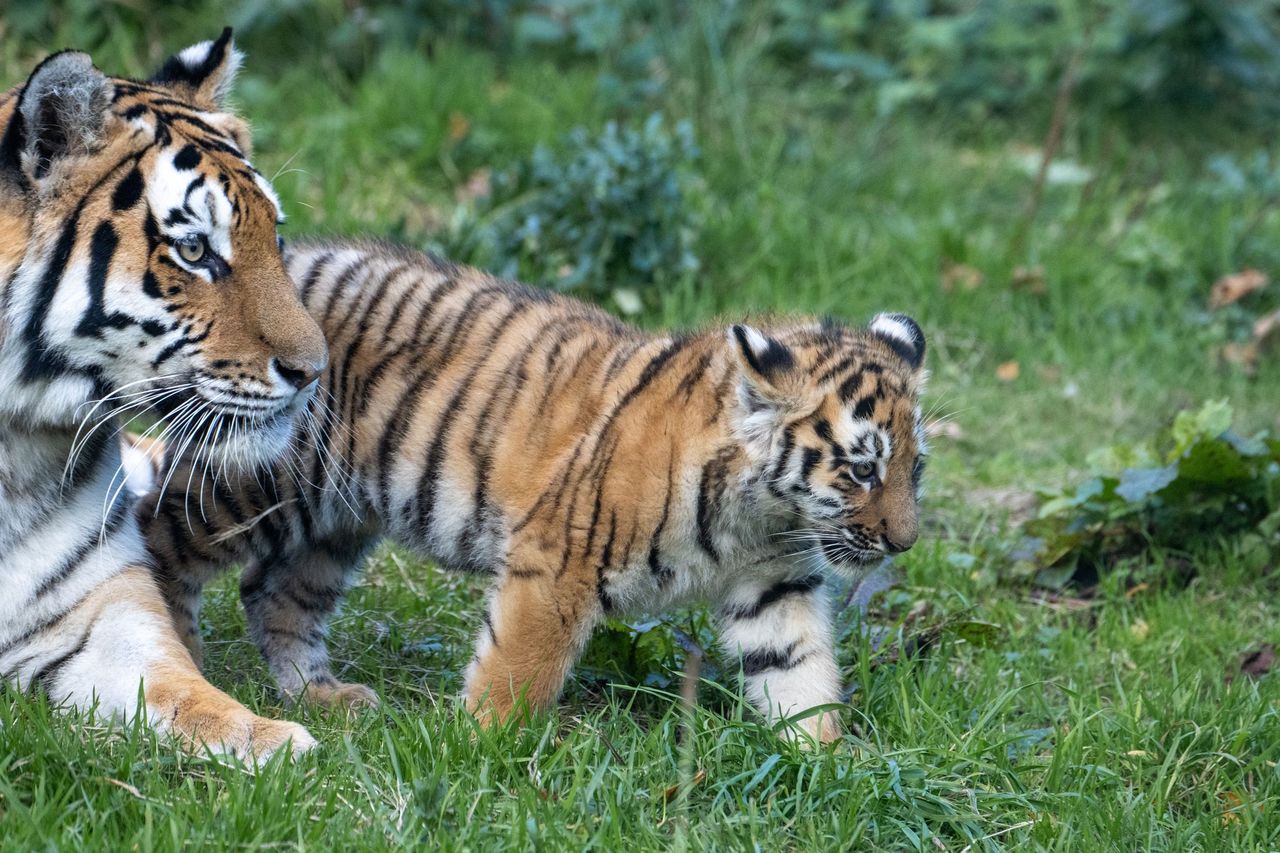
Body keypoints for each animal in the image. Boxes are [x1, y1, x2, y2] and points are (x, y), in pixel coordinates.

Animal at [0, 30, 329, 760]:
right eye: (194, 250)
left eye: (275, 236)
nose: (315, 370)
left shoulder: (99, 608)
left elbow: (180, 687)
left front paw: (274, 743)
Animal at [142, 239, 927, 743]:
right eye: (862, 469)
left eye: (914, 469)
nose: (905, 541)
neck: (761, 512)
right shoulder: (559, 562)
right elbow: (520, 668)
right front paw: (479, 746)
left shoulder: (775, 583)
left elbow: (798, 670)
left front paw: (823, 761)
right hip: (252, 479)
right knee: (159, 533)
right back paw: (181, 654)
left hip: (338, 516)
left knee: (276, 593)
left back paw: (324, 697)